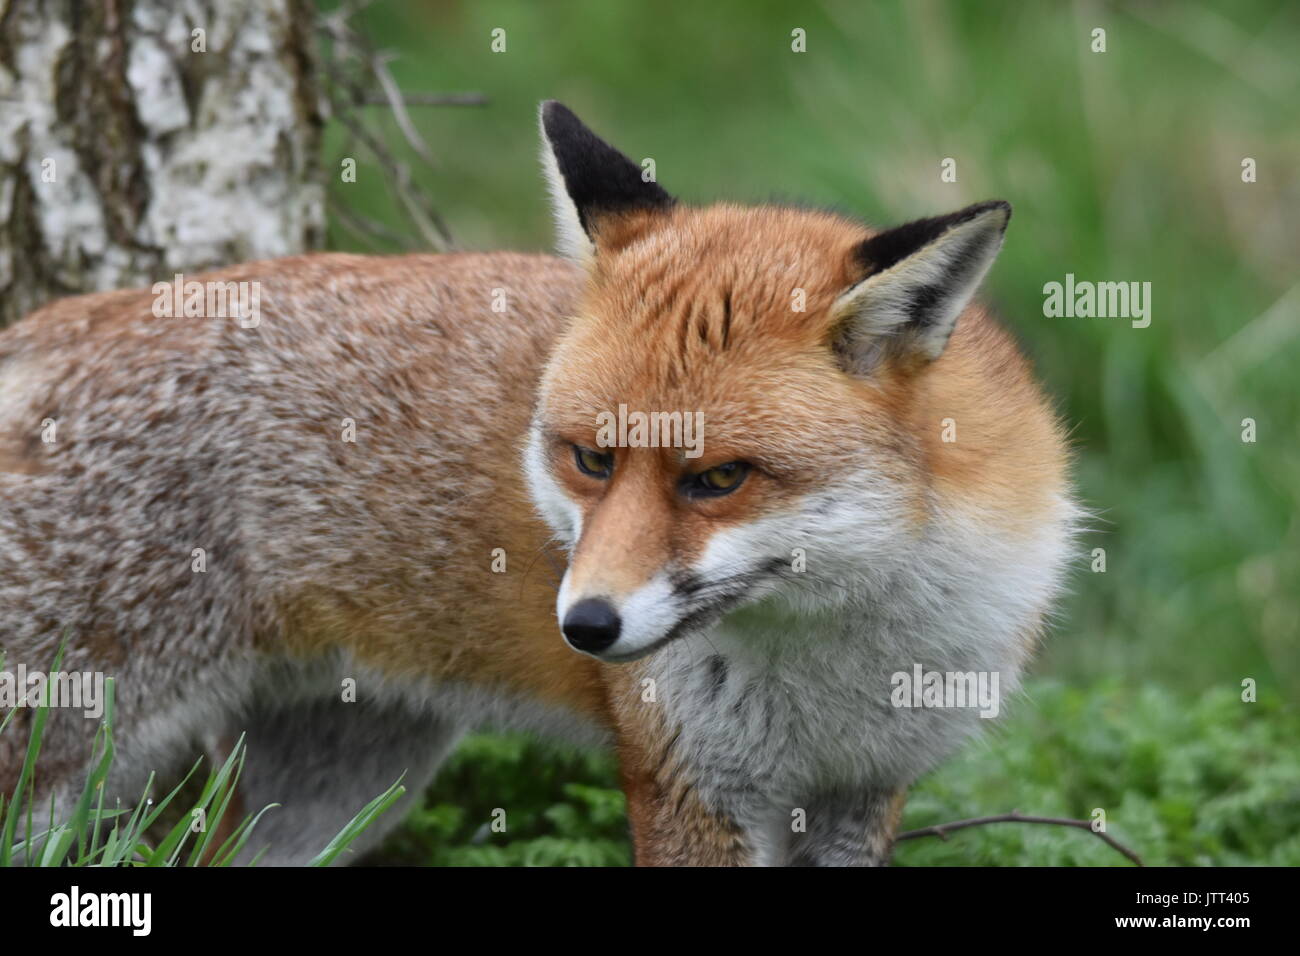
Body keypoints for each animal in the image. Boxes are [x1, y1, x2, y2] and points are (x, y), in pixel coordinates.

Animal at [0, 102, 1077, 866]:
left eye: (719, 478)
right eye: (590, 459)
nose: (586, 628)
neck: (844, 644)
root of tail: (49, 326)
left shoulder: (864, 789)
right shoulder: (689, 787)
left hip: (334, 780)